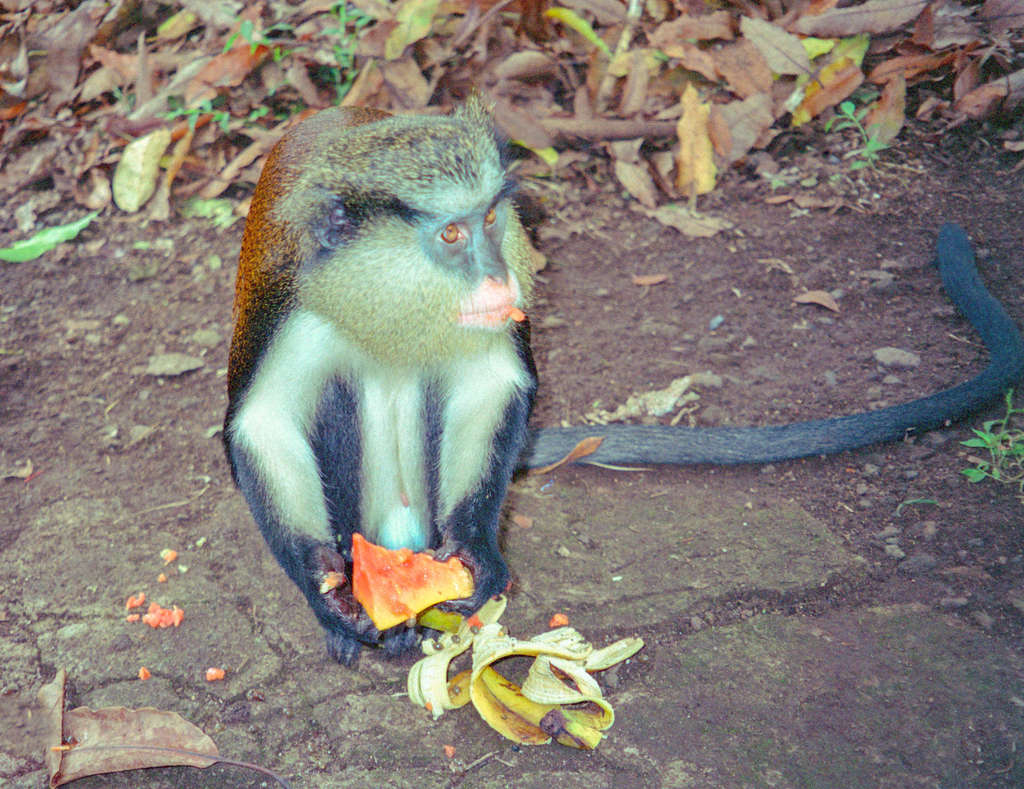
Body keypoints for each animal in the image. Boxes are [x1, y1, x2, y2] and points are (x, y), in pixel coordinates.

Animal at [224, 97, 1024, 665]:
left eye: (490, 219)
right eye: (451, 234)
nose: (497, 276)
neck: (381, 295)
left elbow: (488, 383)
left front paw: (475, 547)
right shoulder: (294, 301)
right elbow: (264, 422)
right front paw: (324, 585)